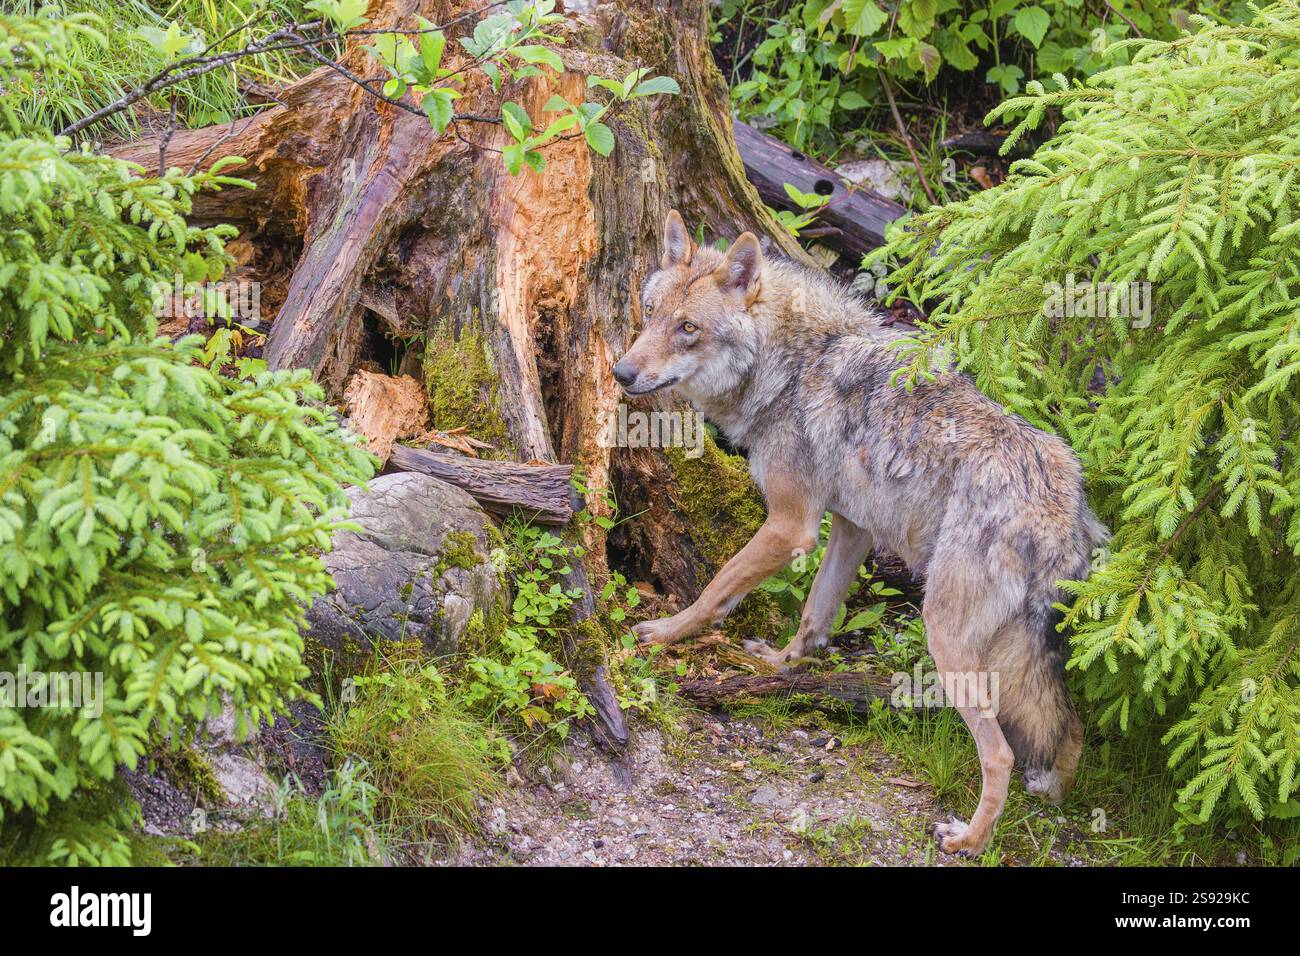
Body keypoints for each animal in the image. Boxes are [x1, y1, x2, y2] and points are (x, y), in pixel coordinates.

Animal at [613, 210, 1108, 855]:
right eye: (649, 312)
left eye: (688, 328)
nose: (621, 372)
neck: (791, 366)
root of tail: (1062, 504)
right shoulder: (851, 529)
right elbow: (815, 615)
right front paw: (780, 665)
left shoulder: (790, 526)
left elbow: (716, 590)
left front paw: (667, 632)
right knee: (1069, 729)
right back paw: (1052, 797)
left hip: (945, 638)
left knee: (999, 752)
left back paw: (969, 840)